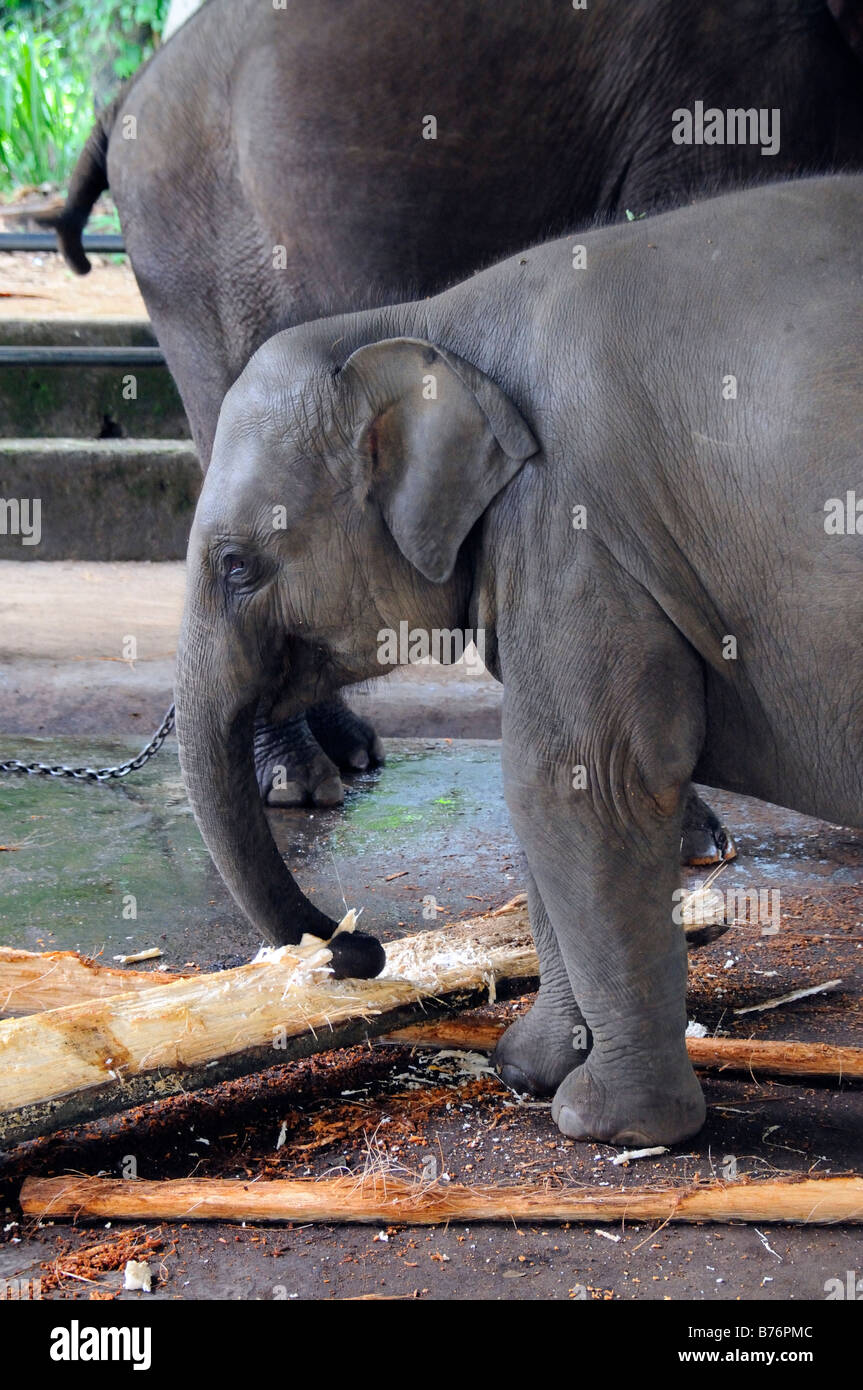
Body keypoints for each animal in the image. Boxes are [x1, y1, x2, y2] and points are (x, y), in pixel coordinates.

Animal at [175, 174, 863, 1143]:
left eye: (237, 565)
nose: (362, 946)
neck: (424, 320)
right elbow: (549, 800)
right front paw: (526, 1068)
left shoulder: (575, 533)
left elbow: (572, 783)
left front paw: (606, 1126)